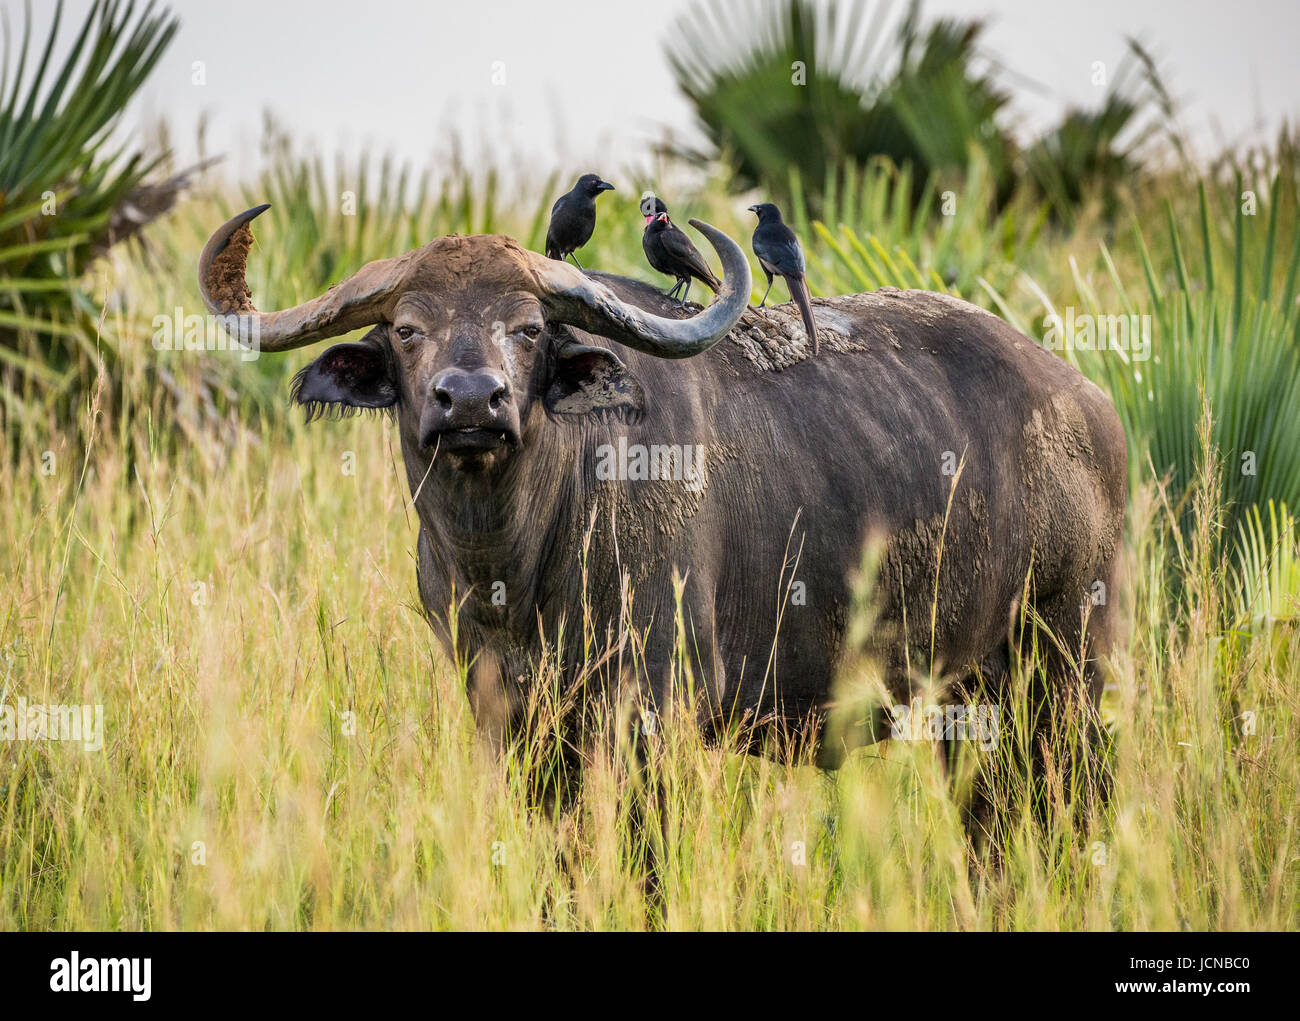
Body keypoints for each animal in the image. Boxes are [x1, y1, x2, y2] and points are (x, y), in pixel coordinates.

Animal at [198, 206, 1126, 798]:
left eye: (528, 328)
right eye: (406, 328)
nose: (470, 400)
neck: (514, 562)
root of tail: (1089, 407)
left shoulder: (652, 708)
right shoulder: (507, 716)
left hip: (1067, 675)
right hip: (970, 709)